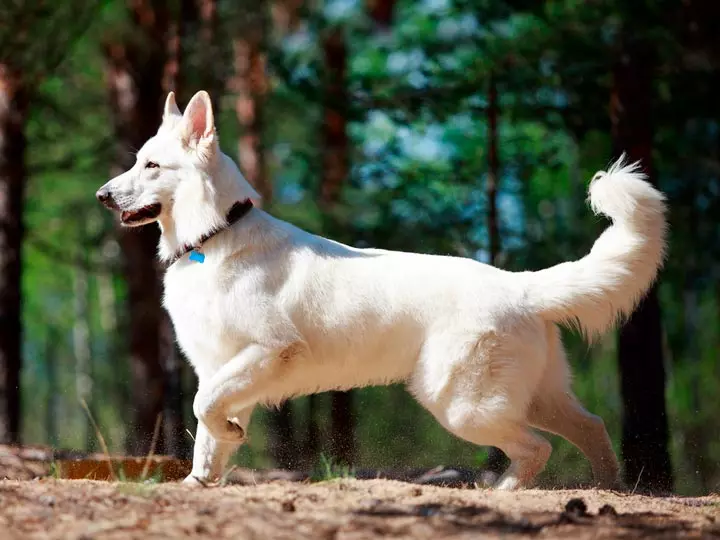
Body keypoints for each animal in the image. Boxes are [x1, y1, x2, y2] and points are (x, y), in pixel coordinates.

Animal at [98, 89, 668, 490]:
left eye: (151, 165)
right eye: (138, 160)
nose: (103, 195)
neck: (215, 235)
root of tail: (524, 286)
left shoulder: (267, 352)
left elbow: (203, 408)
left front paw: (229, 440)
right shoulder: (221, 366)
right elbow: (207, 430)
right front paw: (201, 479)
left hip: (461, 405)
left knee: (537, 450)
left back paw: (505, 492)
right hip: (532, 397)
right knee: (591, 428)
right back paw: (609, 491)